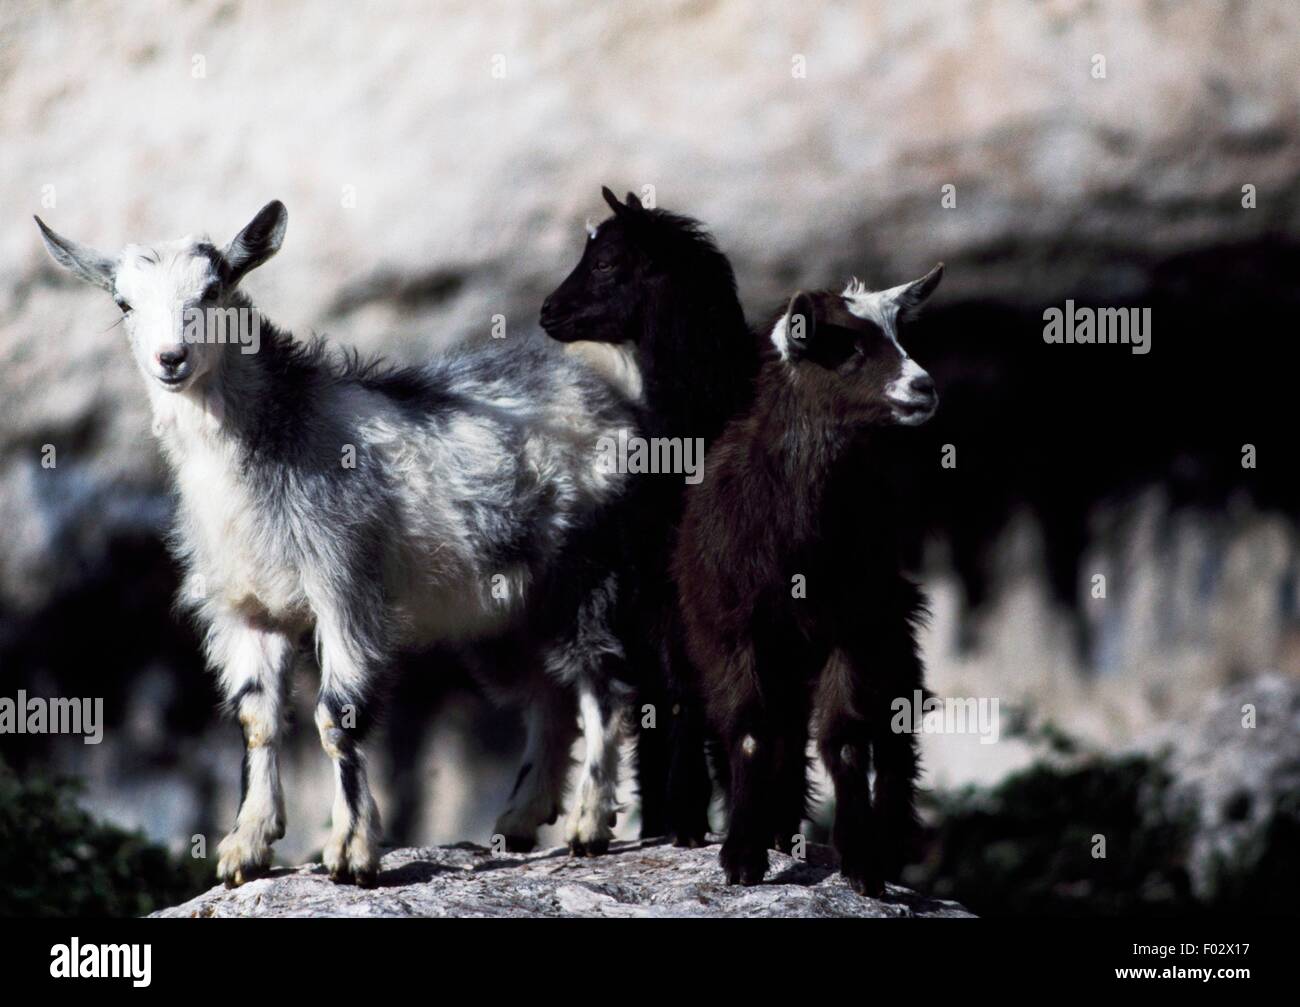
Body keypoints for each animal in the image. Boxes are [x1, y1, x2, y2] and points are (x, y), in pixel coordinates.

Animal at [35, 201, 638, 884]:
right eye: (123, 303)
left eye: (213, 290)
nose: (171, 359)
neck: (277, 441)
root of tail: (603, 394)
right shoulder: (247, 610)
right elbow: (256, 720)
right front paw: (246, 846)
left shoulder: (344, 590)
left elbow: (337, 718)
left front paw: (351, 853)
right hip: (502, 611)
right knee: (546, 697)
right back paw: (519, 820)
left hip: (586, 569)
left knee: (601, 683)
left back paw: (588, 824)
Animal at [672, 265, 944, 894]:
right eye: (846, 348)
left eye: (898, 334)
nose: (923, 389)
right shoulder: (732, 629)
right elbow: (750, 730)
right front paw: (742, 856)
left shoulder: (853, 629)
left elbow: (844, 739)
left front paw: (861, 863)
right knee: (787, 729)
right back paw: (779, 831)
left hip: (891, 624)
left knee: (895, 726)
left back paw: (883, 840)